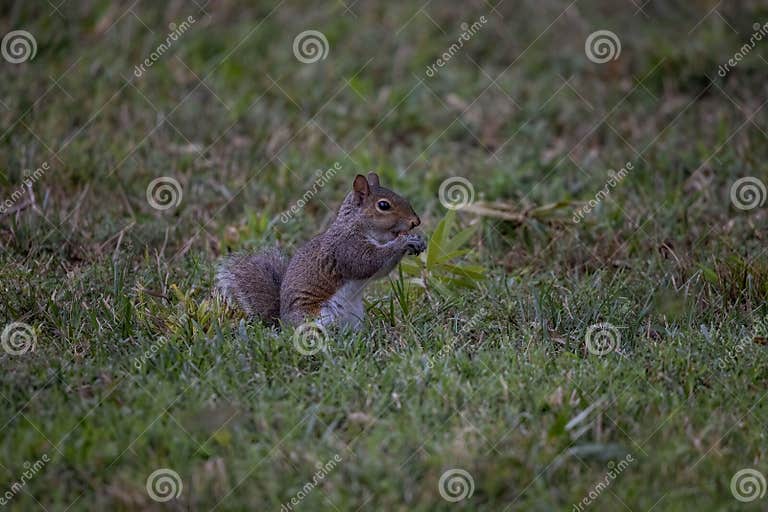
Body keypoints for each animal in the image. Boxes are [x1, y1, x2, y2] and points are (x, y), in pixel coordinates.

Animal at [216, 172, 426, 328]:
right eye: (383, 205)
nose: (415, 221)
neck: (355, 226)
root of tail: (283, 323)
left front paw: (417, 241)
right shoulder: (346, 249)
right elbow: (368, 263)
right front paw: (403, 242)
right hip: (319, 316)